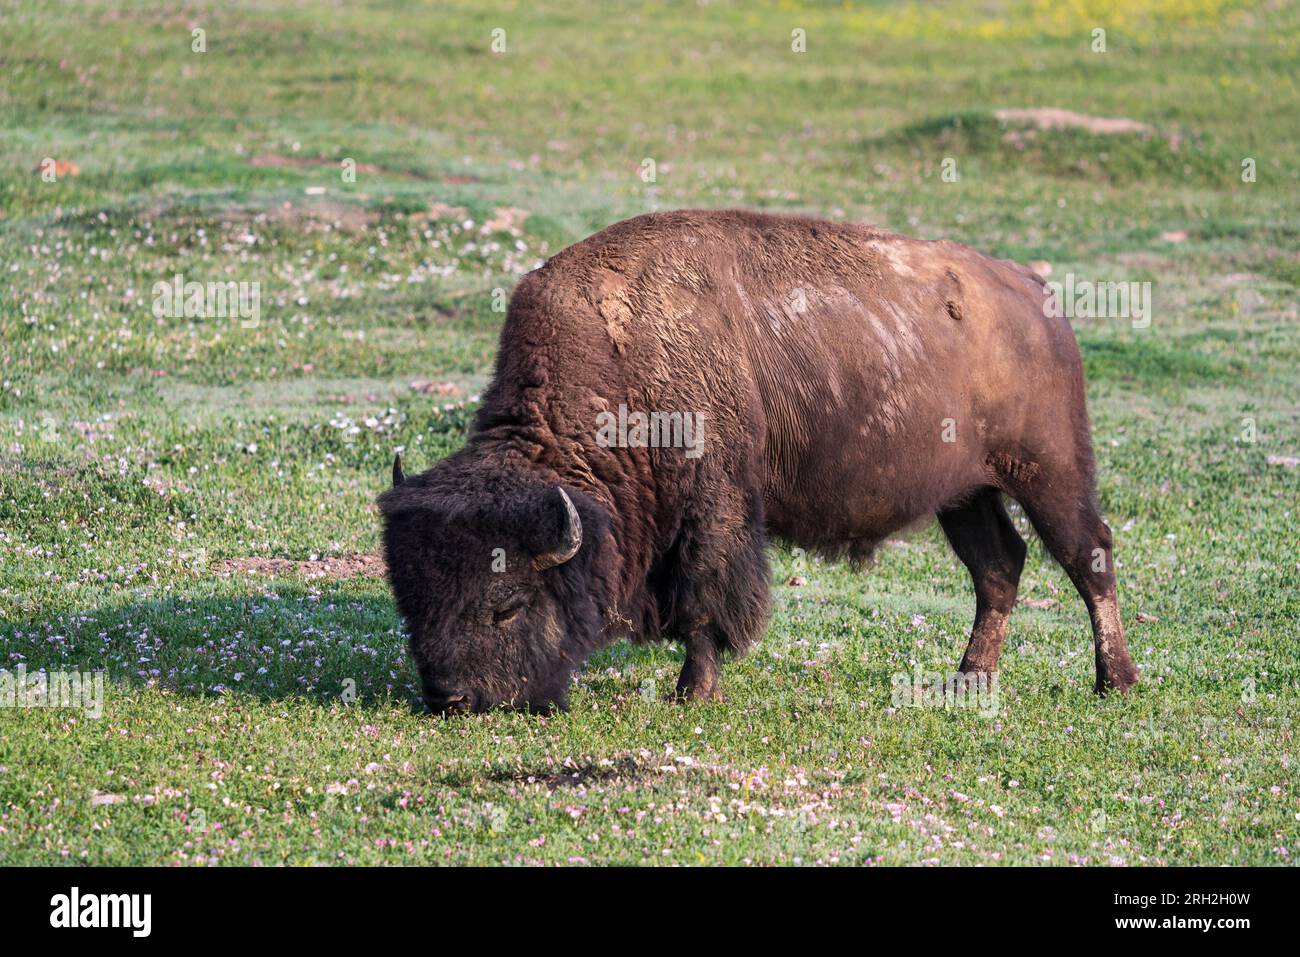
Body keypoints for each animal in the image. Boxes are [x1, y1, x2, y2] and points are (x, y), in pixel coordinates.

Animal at [379, 209, 1139, 714]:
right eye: (410, 602)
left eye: (505, 606)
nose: (452, 697)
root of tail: (1035, 296)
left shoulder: (714, 508)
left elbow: (704, 600)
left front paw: (694, 692)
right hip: (967, 493)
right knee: (998, 567)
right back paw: (969, 680)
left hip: (1048, 472)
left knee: (1088, 556)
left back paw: (1114, 682)